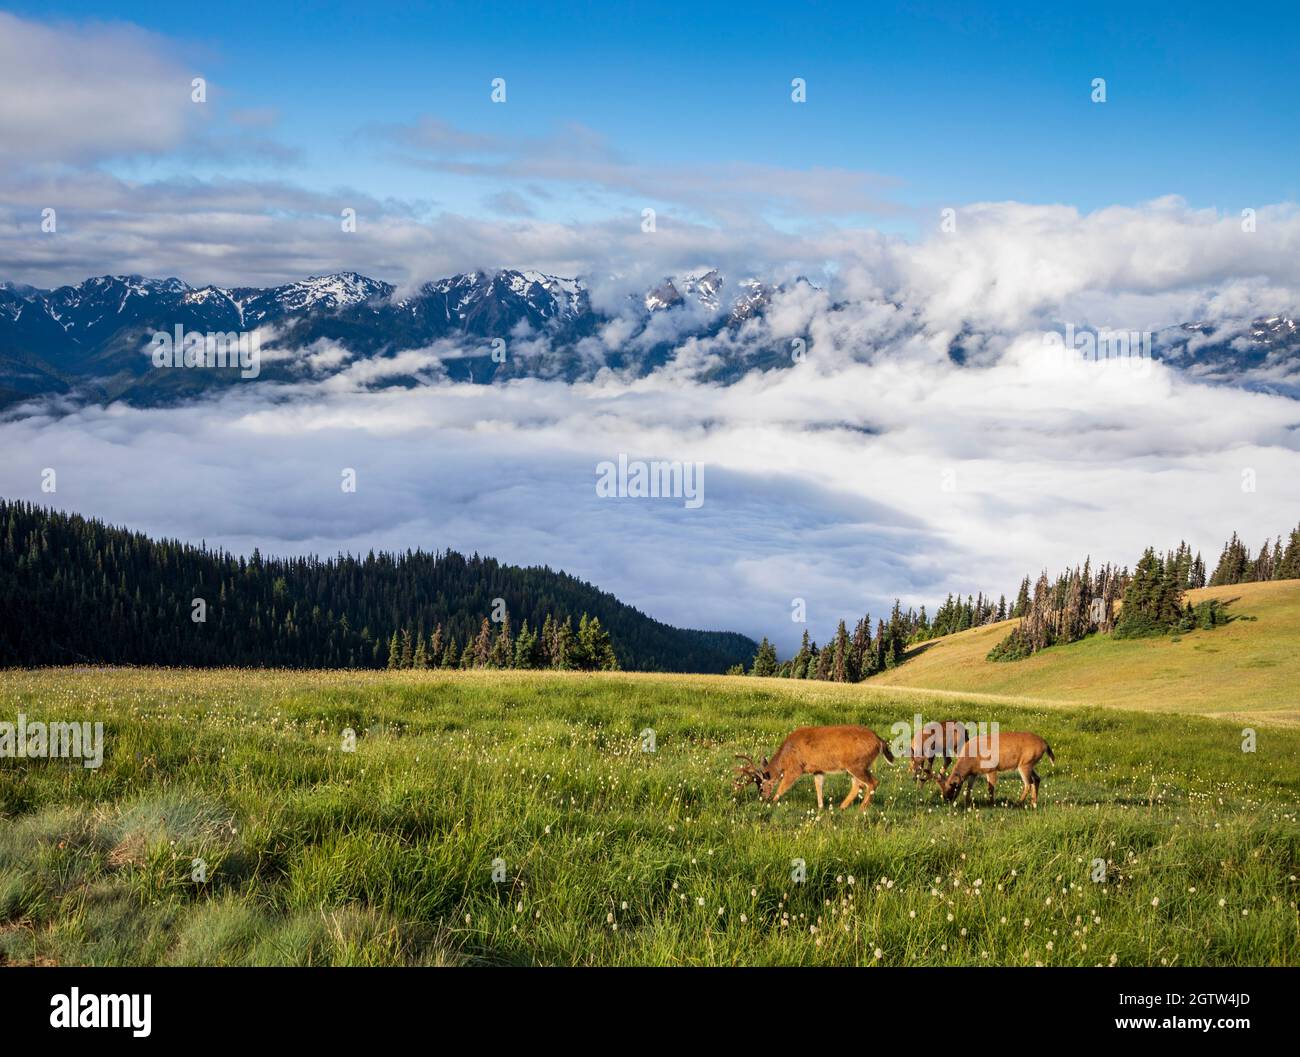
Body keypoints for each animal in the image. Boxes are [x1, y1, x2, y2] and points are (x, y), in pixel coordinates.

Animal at [734, 724, 895, 811]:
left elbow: (782, 787)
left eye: (761, 787)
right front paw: (820, 807)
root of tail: (880, 741)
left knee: (872, 782)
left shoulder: (795, 768)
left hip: (857, 764)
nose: (762, 799)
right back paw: (842, 807)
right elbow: (819, 787)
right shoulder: (818, 770)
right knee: (858, 785)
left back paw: (861, 809)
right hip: (856, 767)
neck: (785, 756)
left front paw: (774, 801)